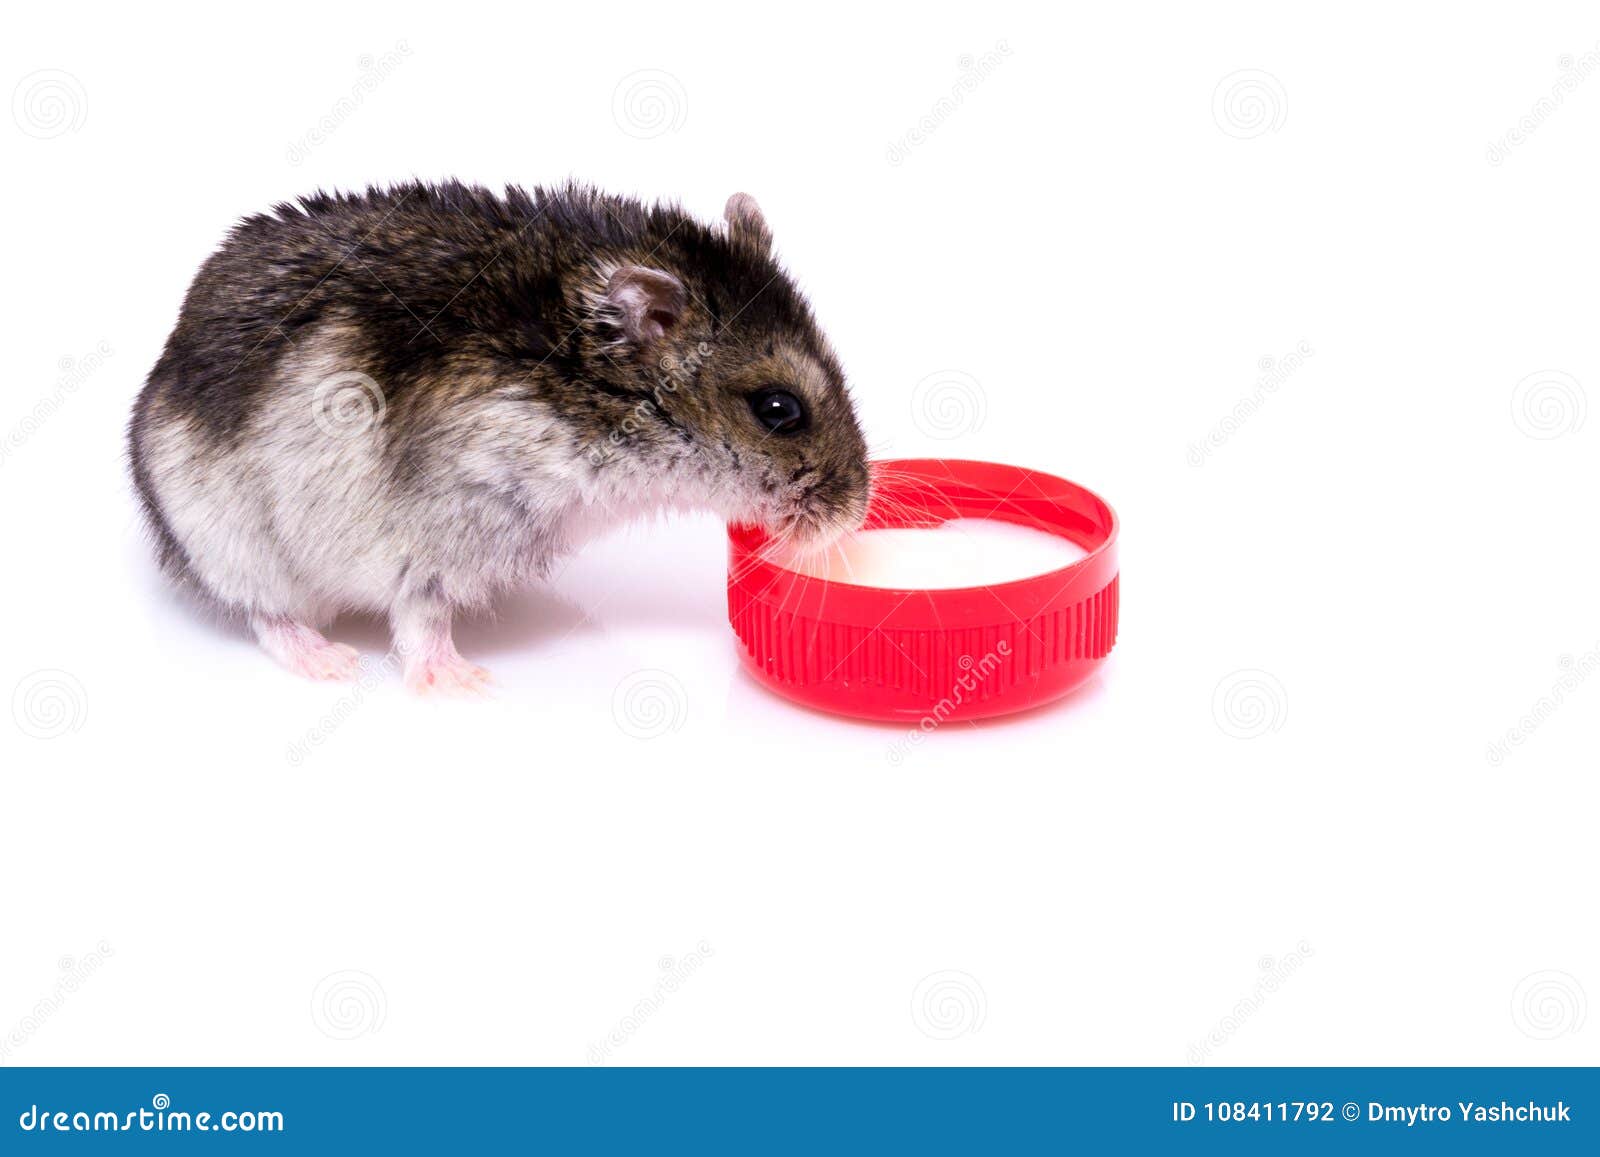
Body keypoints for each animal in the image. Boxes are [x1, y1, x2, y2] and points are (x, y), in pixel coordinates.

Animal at [128, 182, 871, 693]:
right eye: (779, 409)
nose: (855, 512)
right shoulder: (437, 535)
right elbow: (420, 619)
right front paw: (464, 684)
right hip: (231, 541)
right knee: (264, 613)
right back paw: (330, 662)